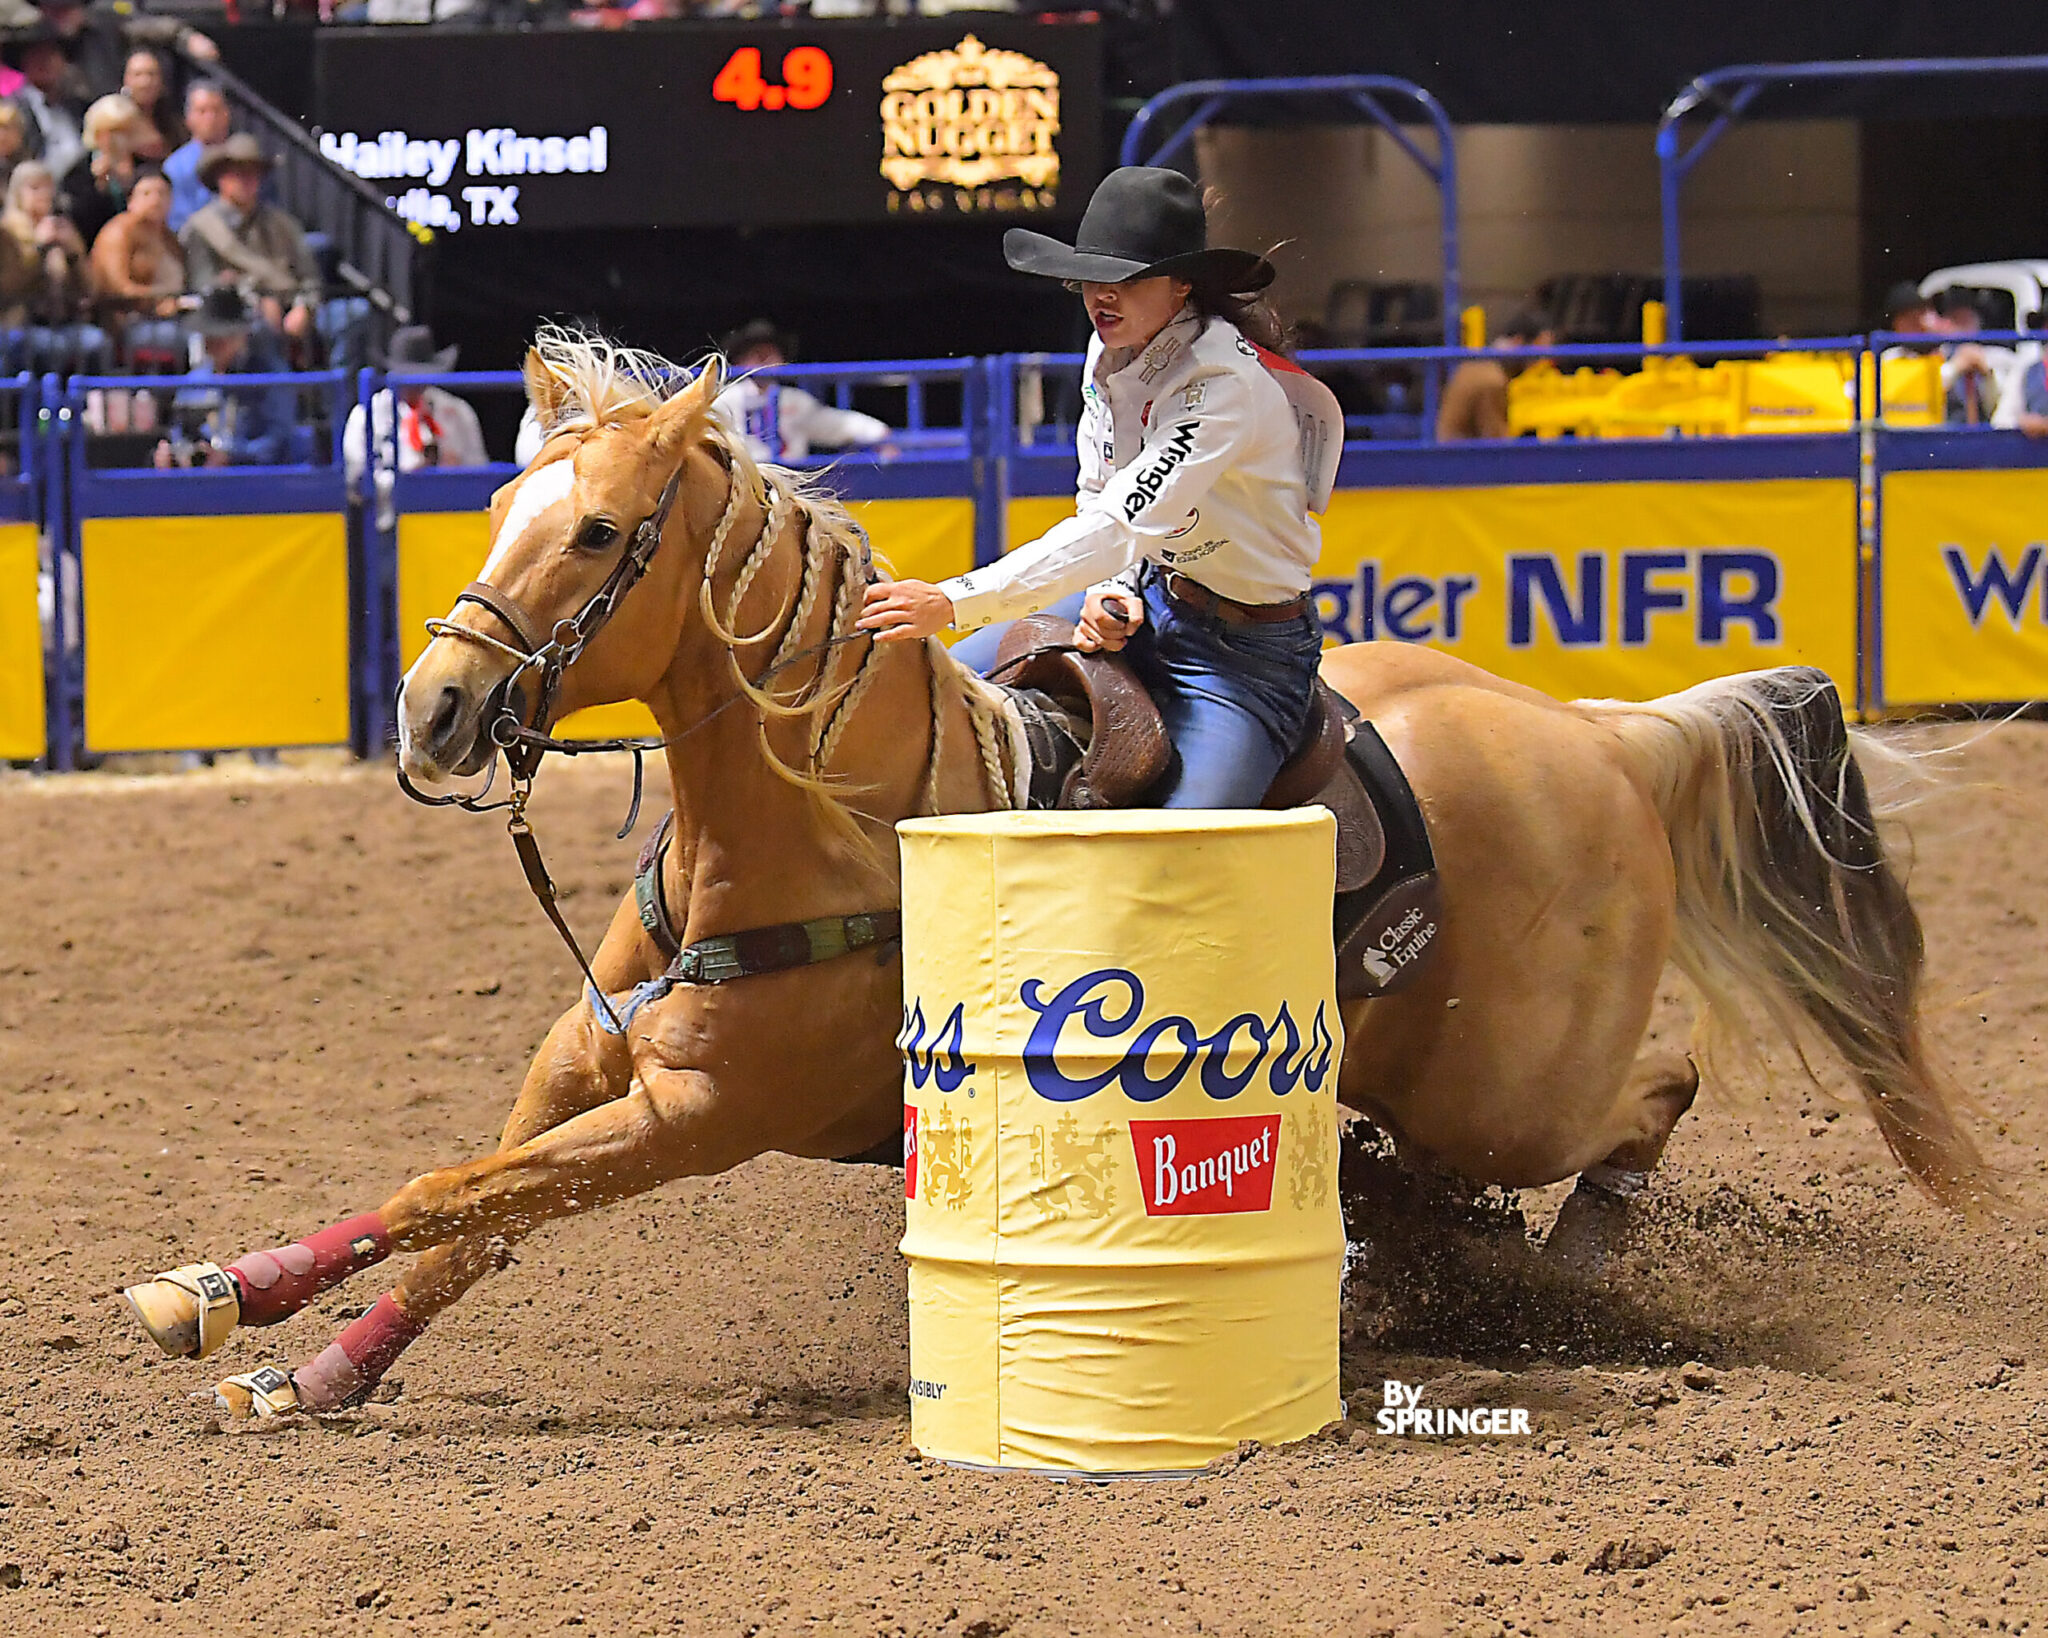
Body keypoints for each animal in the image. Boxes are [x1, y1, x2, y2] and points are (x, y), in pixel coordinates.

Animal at [121, 330, 1990, 1419]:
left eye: (594, 533)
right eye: (501, 498)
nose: (433, 707)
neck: (807, 822)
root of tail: (1603, 734)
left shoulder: (693, 1117)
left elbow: (457, 1192)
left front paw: (230, 1308)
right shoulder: (586, 1060)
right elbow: (463, 1207)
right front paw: (287, 1338)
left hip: (1511, 1084)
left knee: (1650, 1090)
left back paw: (1572, 1265)